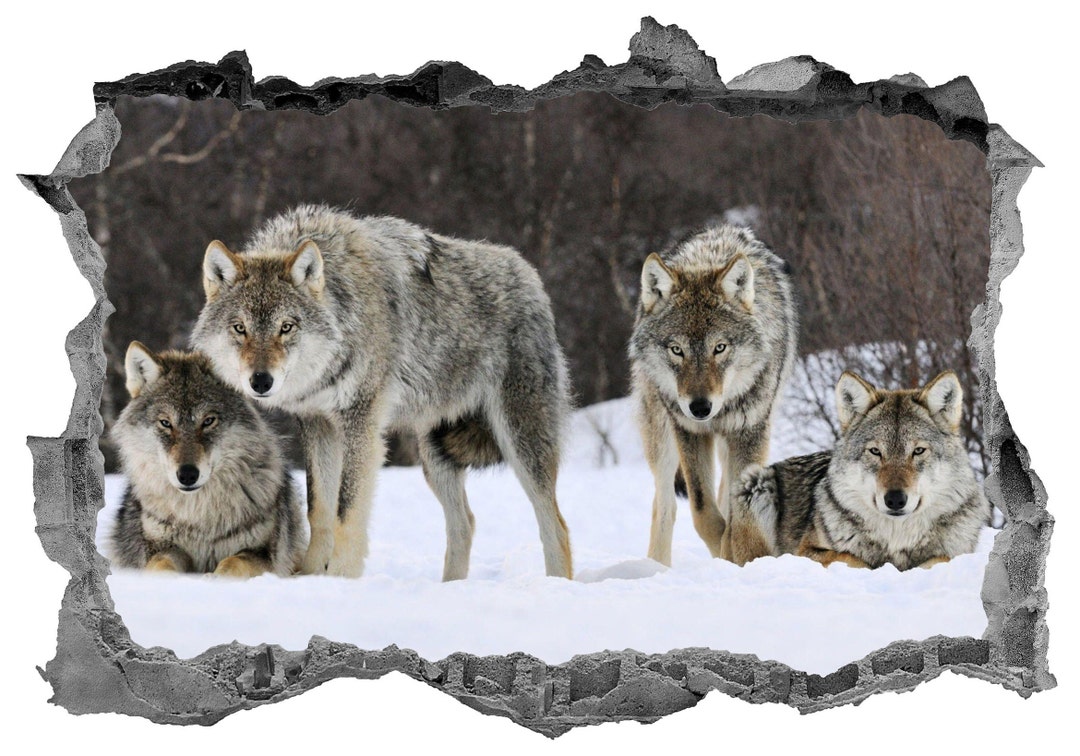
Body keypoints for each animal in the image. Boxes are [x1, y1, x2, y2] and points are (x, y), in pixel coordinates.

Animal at [109, 342, 306, 577]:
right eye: (166, 423)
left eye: (208, 421)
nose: (187, 475)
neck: (199, 517)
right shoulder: (161, 547)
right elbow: (161, 565)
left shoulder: (262, 554)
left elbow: (233, 563)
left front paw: (215, 579)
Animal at [190, 205, 573, 580]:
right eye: (240, 328)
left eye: (286, 327)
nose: (261, 381)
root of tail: (530, 275)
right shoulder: (317, 424)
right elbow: (319, 509)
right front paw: (311, 576)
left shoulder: (361, 423)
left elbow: (346, 510)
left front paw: (340, 578)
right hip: (435, 456)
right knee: (465, 523)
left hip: (520, 442)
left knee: (556, 525)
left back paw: (556, 583)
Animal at [629, 225, 797, 566]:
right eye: (676, 350)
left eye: (719, 348)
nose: (700, 407)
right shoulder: (689, 431)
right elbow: (703, 511)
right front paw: (724, 551)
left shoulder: (750, 431)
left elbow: (736, 512)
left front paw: (736, 556)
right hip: (661, 436)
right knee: (664, 505)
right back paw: (656, 567)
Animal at [736, 370, 990, 570]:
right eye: (875, 451)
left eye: (918, 451)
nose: (895, 499)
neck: (896, 539)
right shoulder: (805, 551)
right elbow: (852, 558)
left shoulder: (957, 552)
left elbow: (941, 558)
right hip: (756, 483)